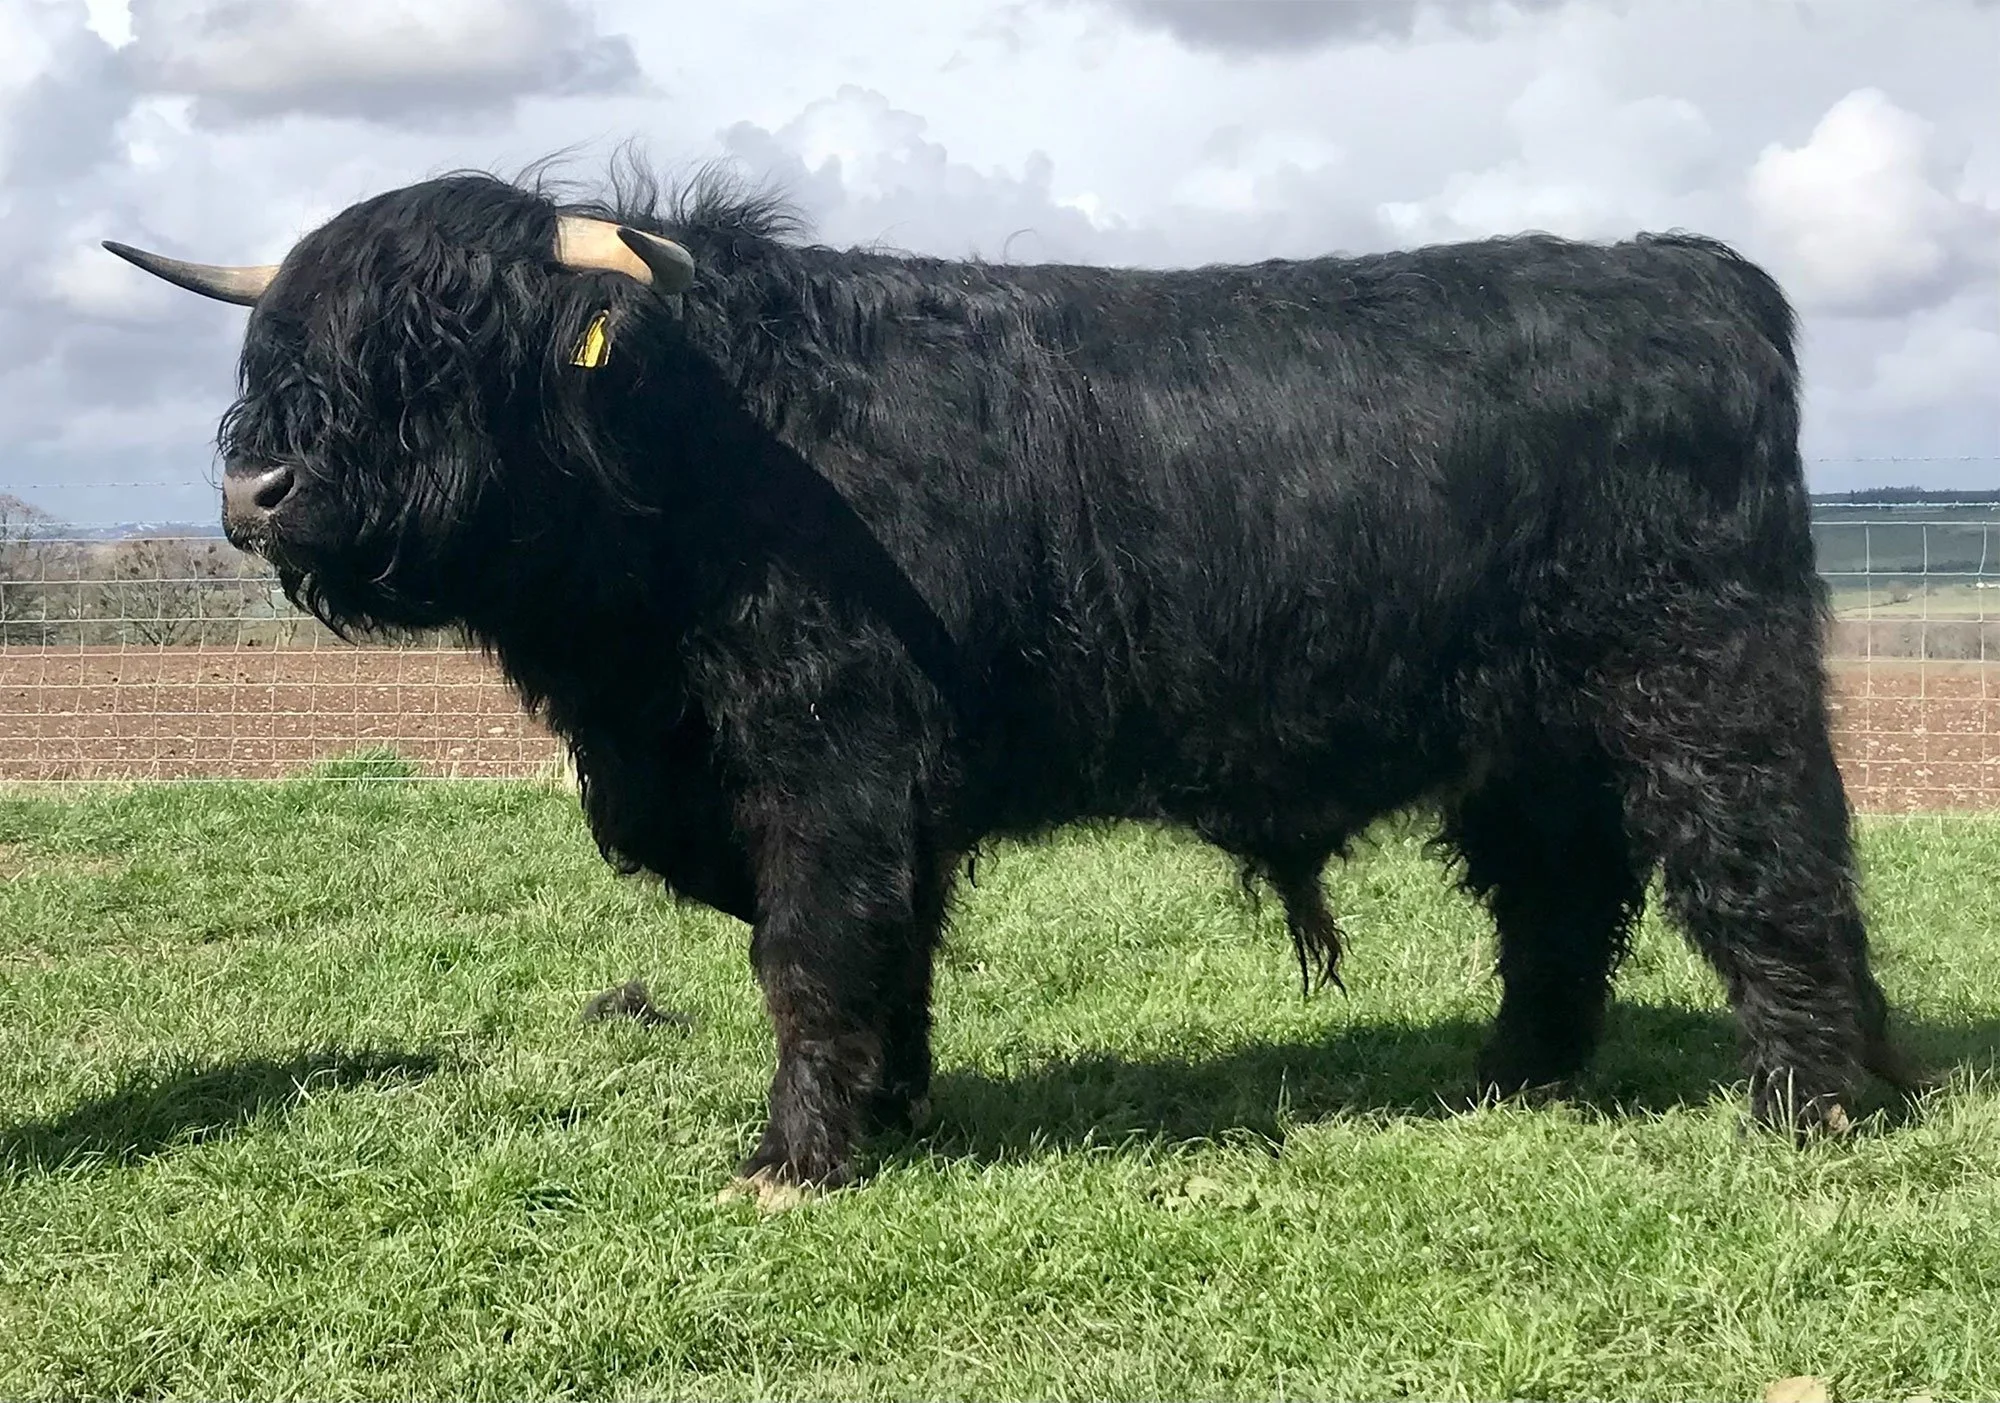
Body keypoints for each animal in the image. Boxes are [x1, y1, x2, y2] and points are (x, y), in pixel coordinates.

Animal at [105, 164, 1914, 1203]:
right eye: (278, 353)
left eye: (448, 343)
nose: (258, 489)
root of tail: (1688, 270)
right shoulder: (849, 780)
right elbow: (890, 946)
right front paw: (894, 1108)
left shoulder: (829, 753)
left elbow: (815, 946)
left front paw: (793, 1161)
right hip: (1530, 734)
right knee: (1557, 894)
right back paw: (1513, 1076)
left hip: (1705, 677)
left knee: (1770, 870)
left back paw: (1815, 1110)